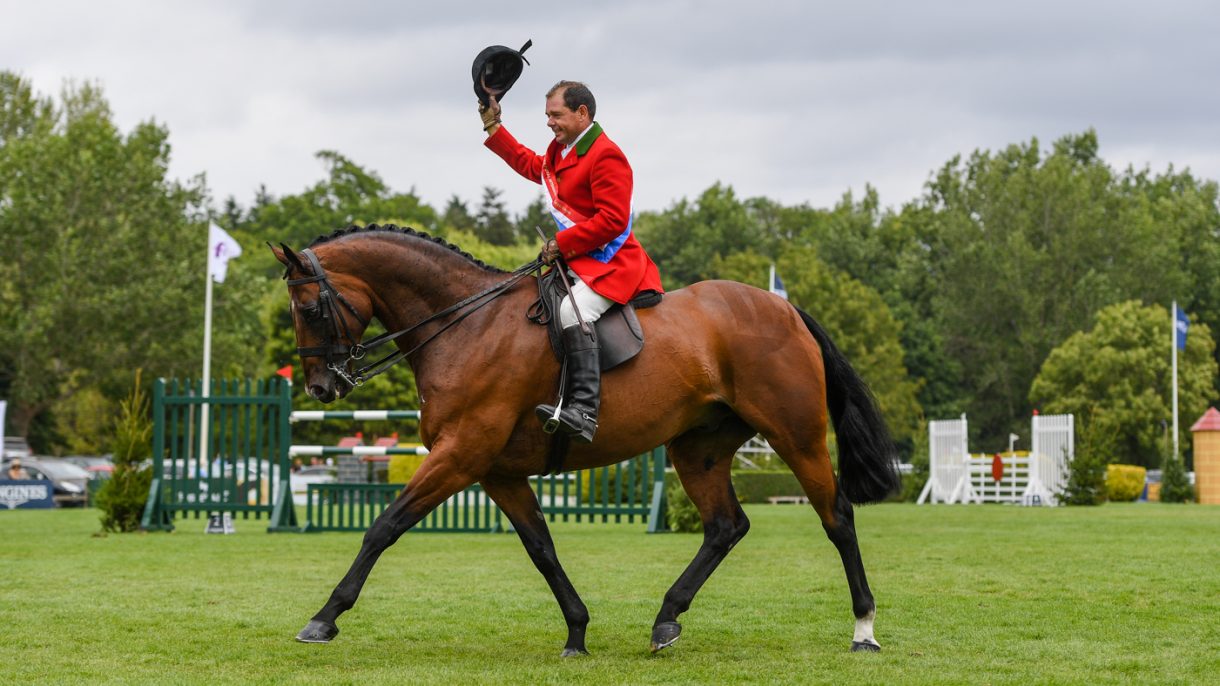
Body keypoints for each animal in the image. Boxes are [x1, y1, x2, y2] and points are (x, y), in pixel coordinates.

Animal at [272, 223, 900, 656]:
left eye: (310, 307)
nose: (323, 386)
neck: (466, 325)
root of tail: (785, 309)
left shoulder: (460, 455)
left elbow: (384, 527)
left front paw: (324, 618)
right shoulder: (496, 470)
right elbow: (541, 548)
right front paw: (576, 630)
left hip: (795, 436)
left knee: (837, 517)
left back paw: (864, 628)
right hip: (697, 449)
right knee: (726, 526)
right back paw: (666, 620)